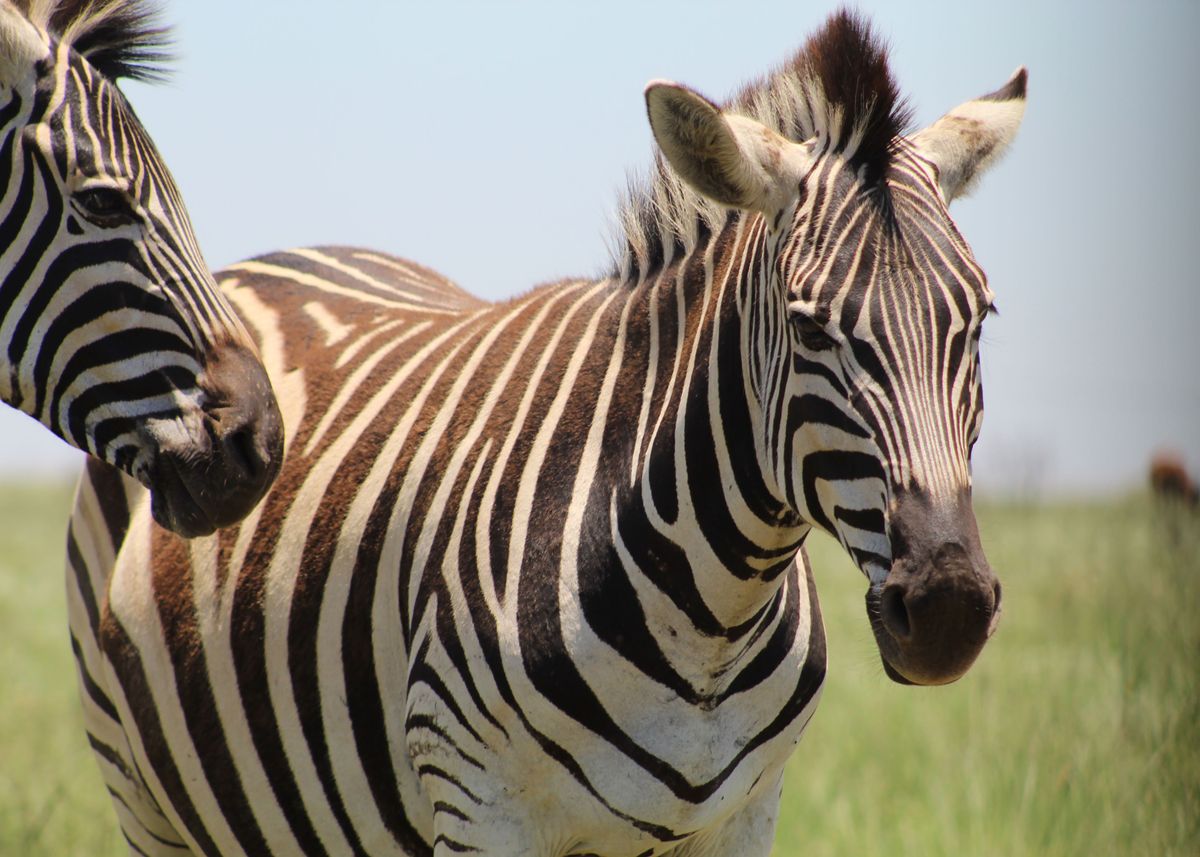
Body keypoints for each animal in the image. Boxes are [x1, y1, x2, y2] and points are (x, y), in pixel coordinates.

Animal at [67, 11, 1026, 856]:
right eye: (809, 328)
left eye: (980, 319)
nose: (948, 609)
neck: (712, 623)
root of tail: (287, 256)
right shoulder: (480, 805)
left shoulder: (747, 814)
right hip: (140, 792)